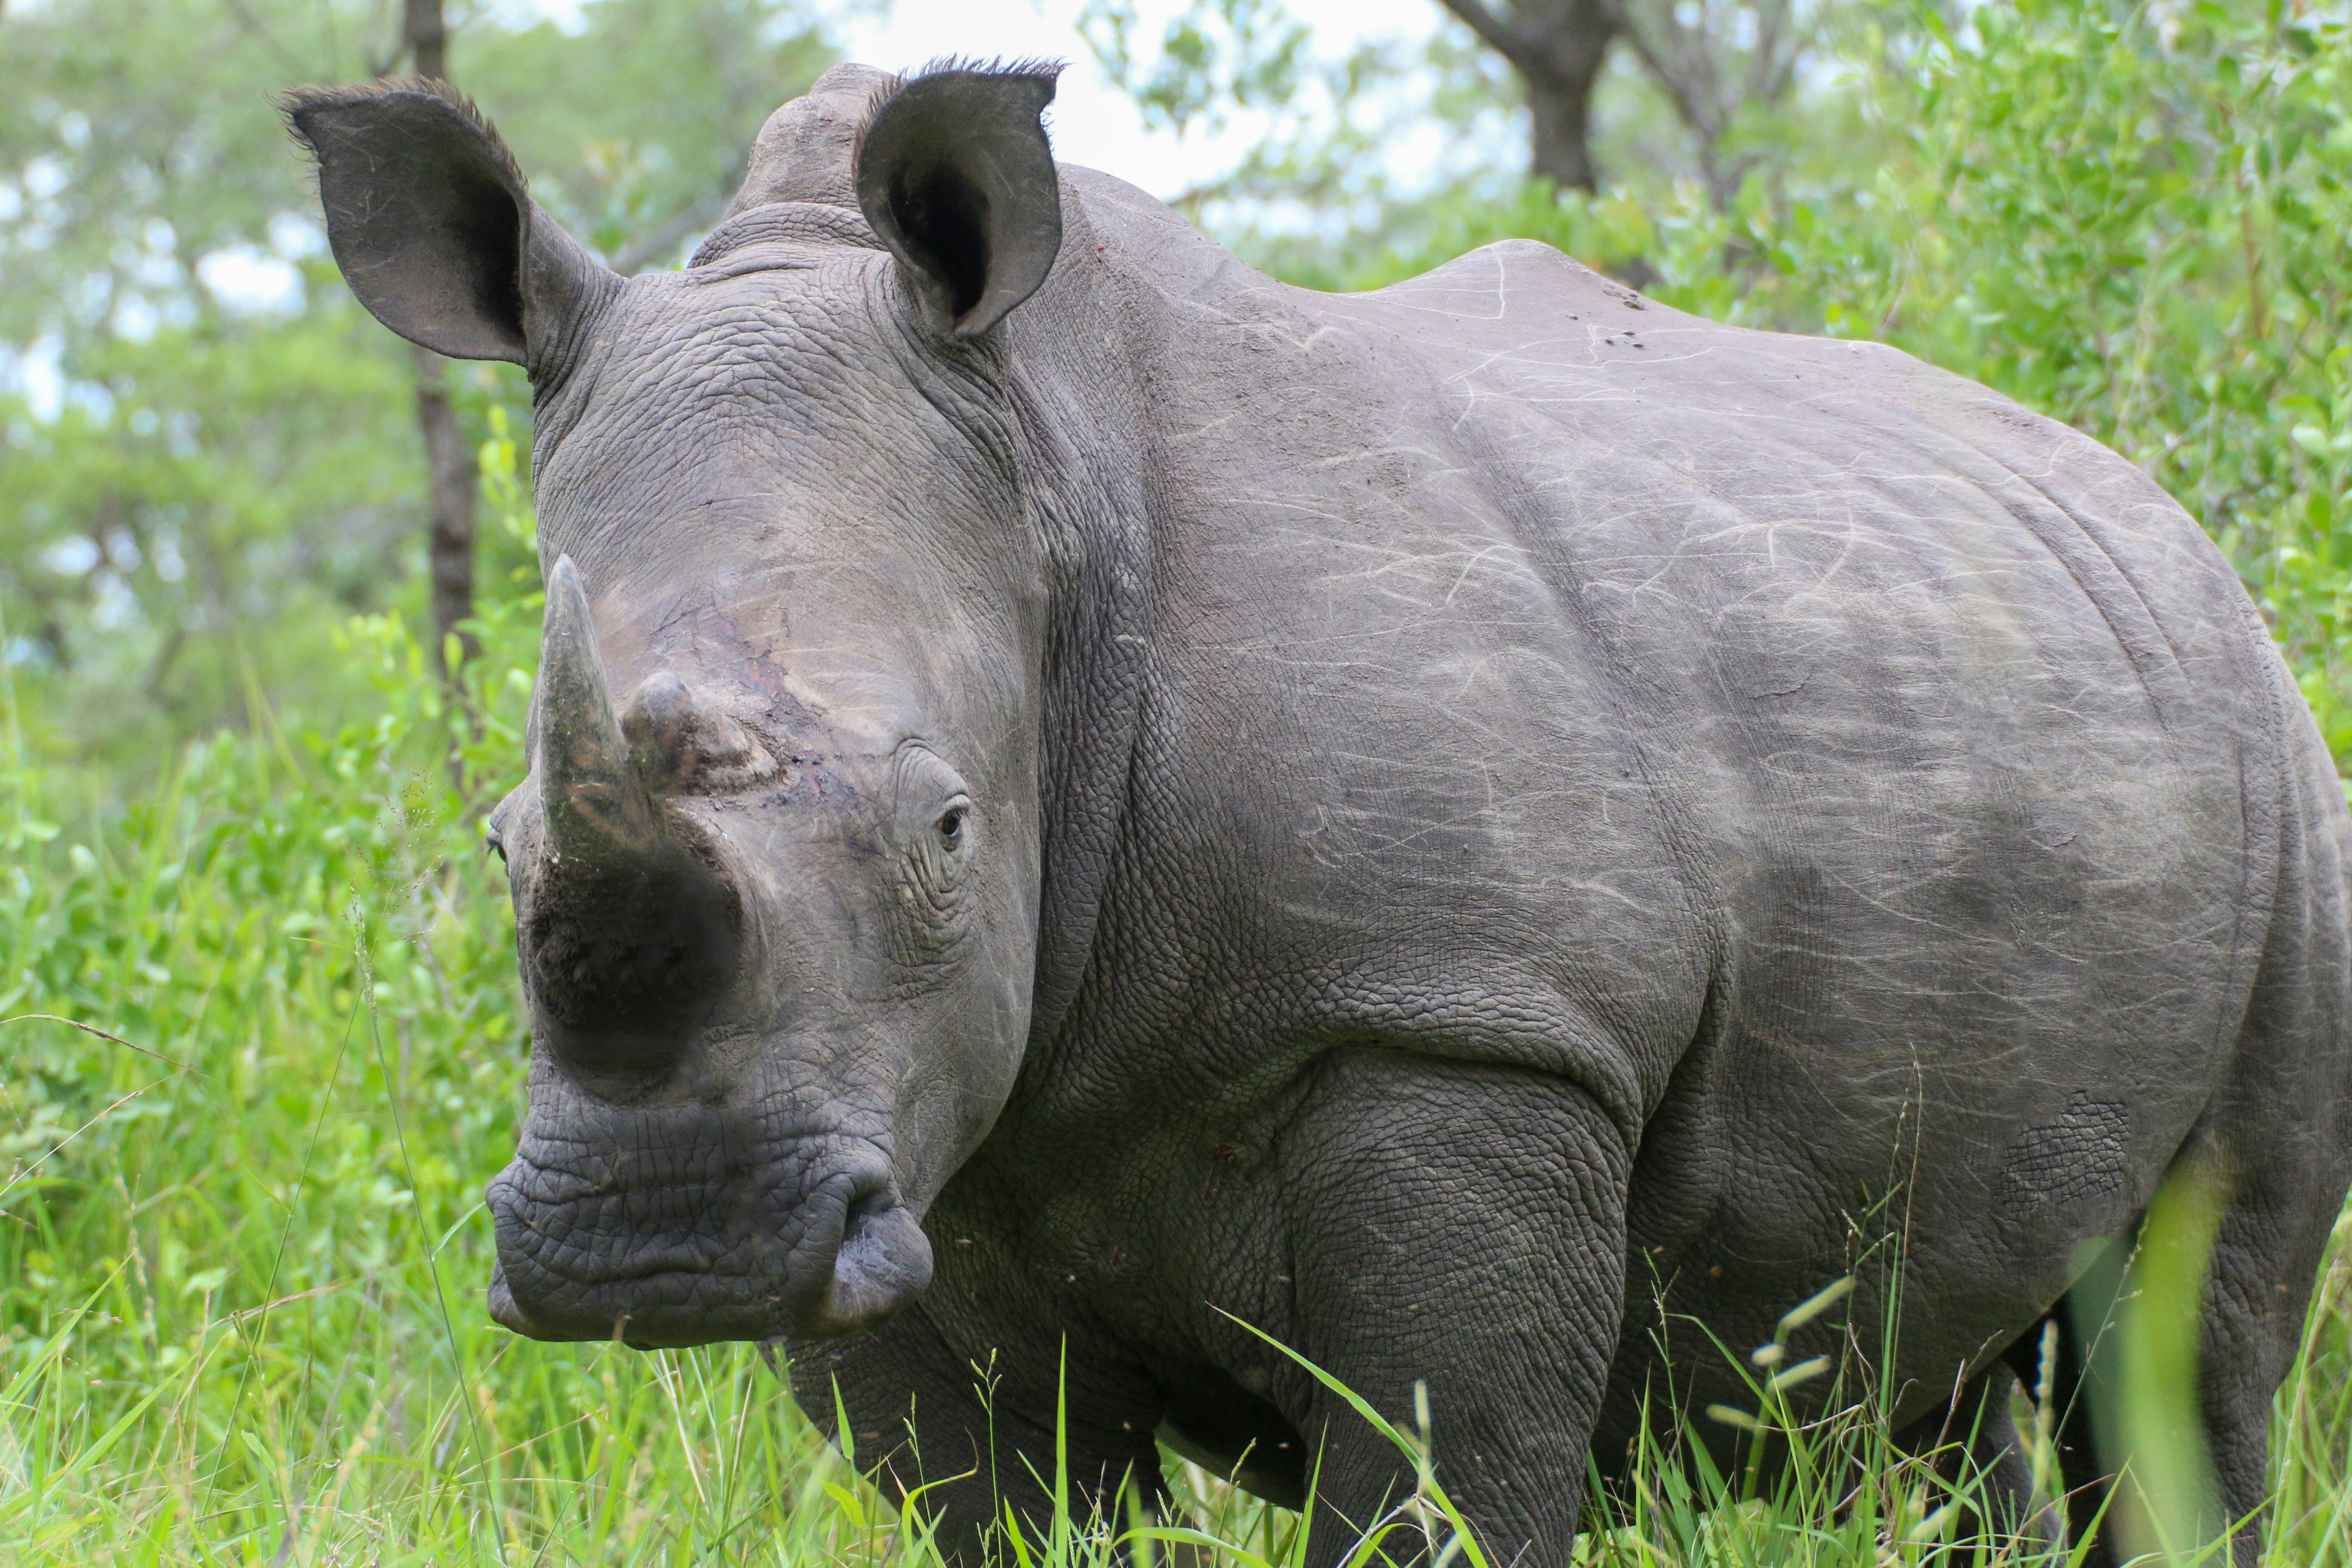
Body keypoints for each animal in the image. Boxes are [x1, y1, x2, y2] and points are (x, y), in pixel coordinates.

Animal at [284, 62, 2352, 1566]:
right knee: (1929, 1379)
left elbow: (1435, 1473)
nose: (663, 1245)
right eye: (499, 849)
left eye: (948, 827)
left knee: (2190, 1348)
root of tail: (2158, 507)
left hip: (2284, 783)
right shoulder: (889, 1162)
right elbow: (997, 1501)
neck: (1052, 492)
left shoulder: (1465, 1019)